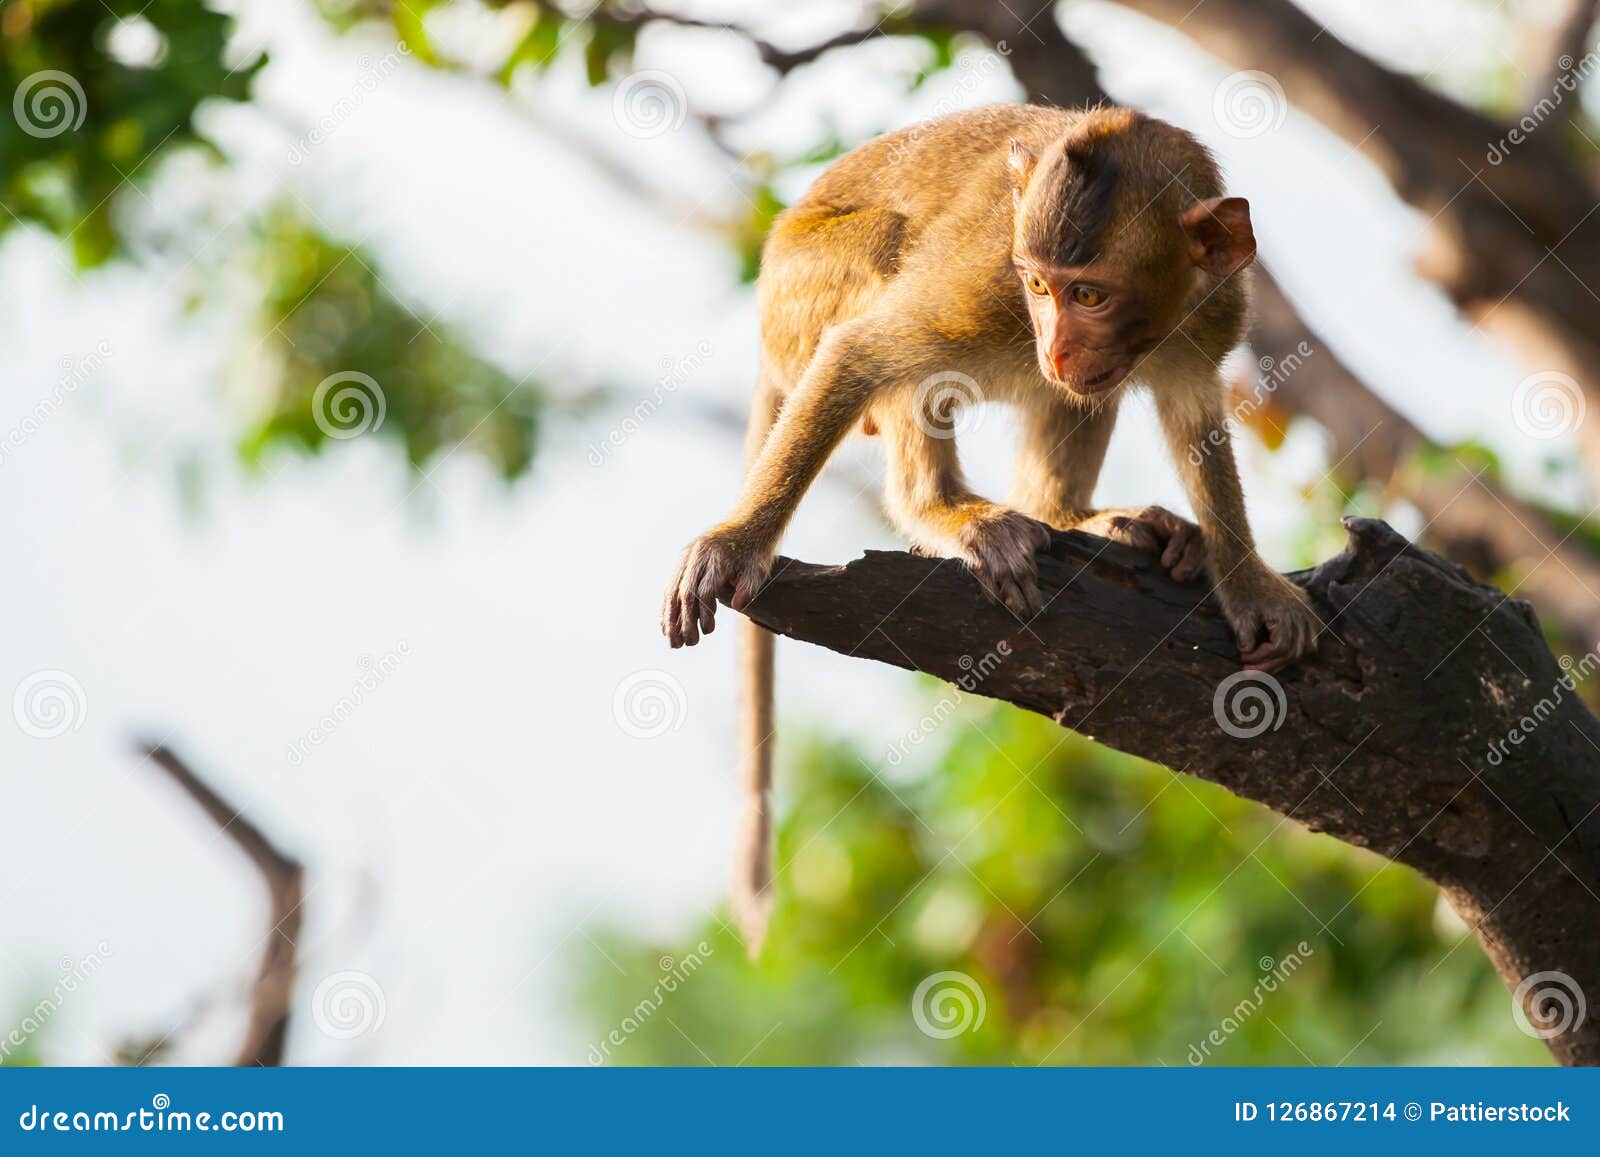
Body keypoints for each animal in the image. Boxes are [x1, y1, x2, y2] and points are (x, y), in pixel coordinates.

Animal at [659, 103, 1321, 955]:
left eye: (1091, 295)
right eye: (1037, 285)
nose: (1055, 345)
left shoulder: (1209, 316)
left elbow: (1194, 419)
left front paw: (1248, 582)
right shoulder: (977, 290)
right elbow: (863, 353)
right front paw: (735, 542)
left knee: (1078, 397)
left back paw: (1074, 514)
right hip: (799, 299)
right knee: (888, 293)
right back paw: (940, 509)